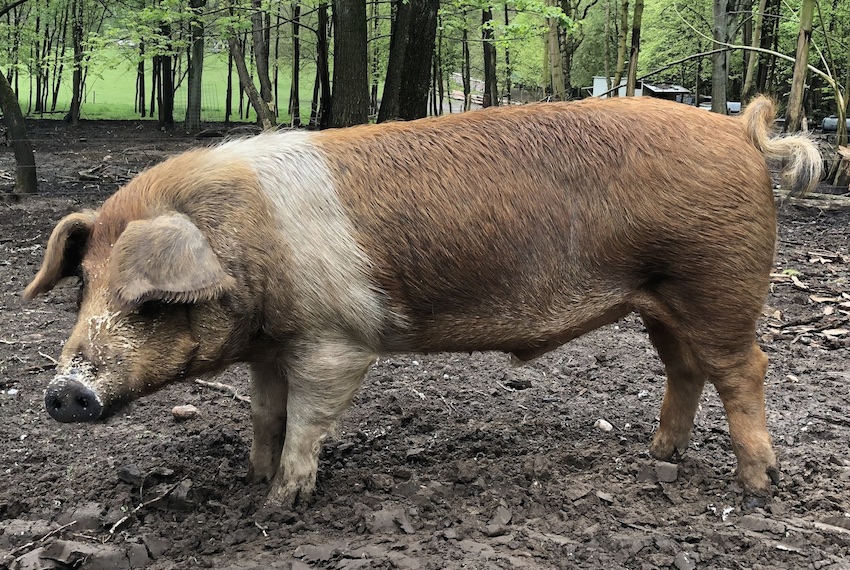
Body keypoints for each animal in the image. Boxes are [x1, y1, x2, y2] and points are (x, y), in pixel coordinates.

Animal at [24, 96, 821, 507]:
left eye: (149, 304)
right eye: (83, 288)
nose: (64, 393)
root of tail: (741, 130)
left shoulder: (337, 339)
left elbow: (308, 418)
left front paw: (283, 502)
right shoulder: (272, 348)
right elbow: (265, 411)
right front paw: (251, 478)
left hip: (719, 280)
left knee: (744, 368)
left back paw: (758, 486)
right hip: (660, 300)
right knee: (685, 370)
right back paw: (661, 456)